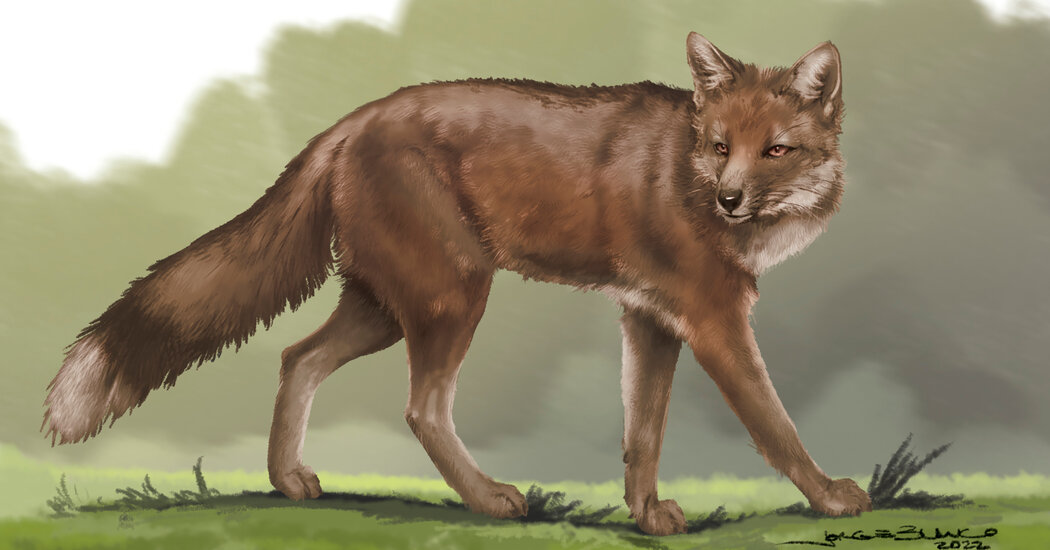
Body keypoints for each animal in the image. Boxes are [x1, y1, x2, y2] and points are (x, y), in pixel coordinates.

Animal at [44, 33, 871, 535]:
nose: (730, 198)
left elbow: (643, 436)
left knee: (296, 358)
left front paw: (645, 516)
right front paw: (830, 496)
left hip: (387, 308)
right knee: (421, 409)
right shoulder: (713, 320)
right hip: (453, 296)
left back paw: (288, 479)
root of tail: (352, 121)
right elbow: (775, 426)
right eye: (721, 147)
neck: (684, 172)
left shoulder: (651, 321)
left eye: (775, 150)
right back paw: (490, 499)